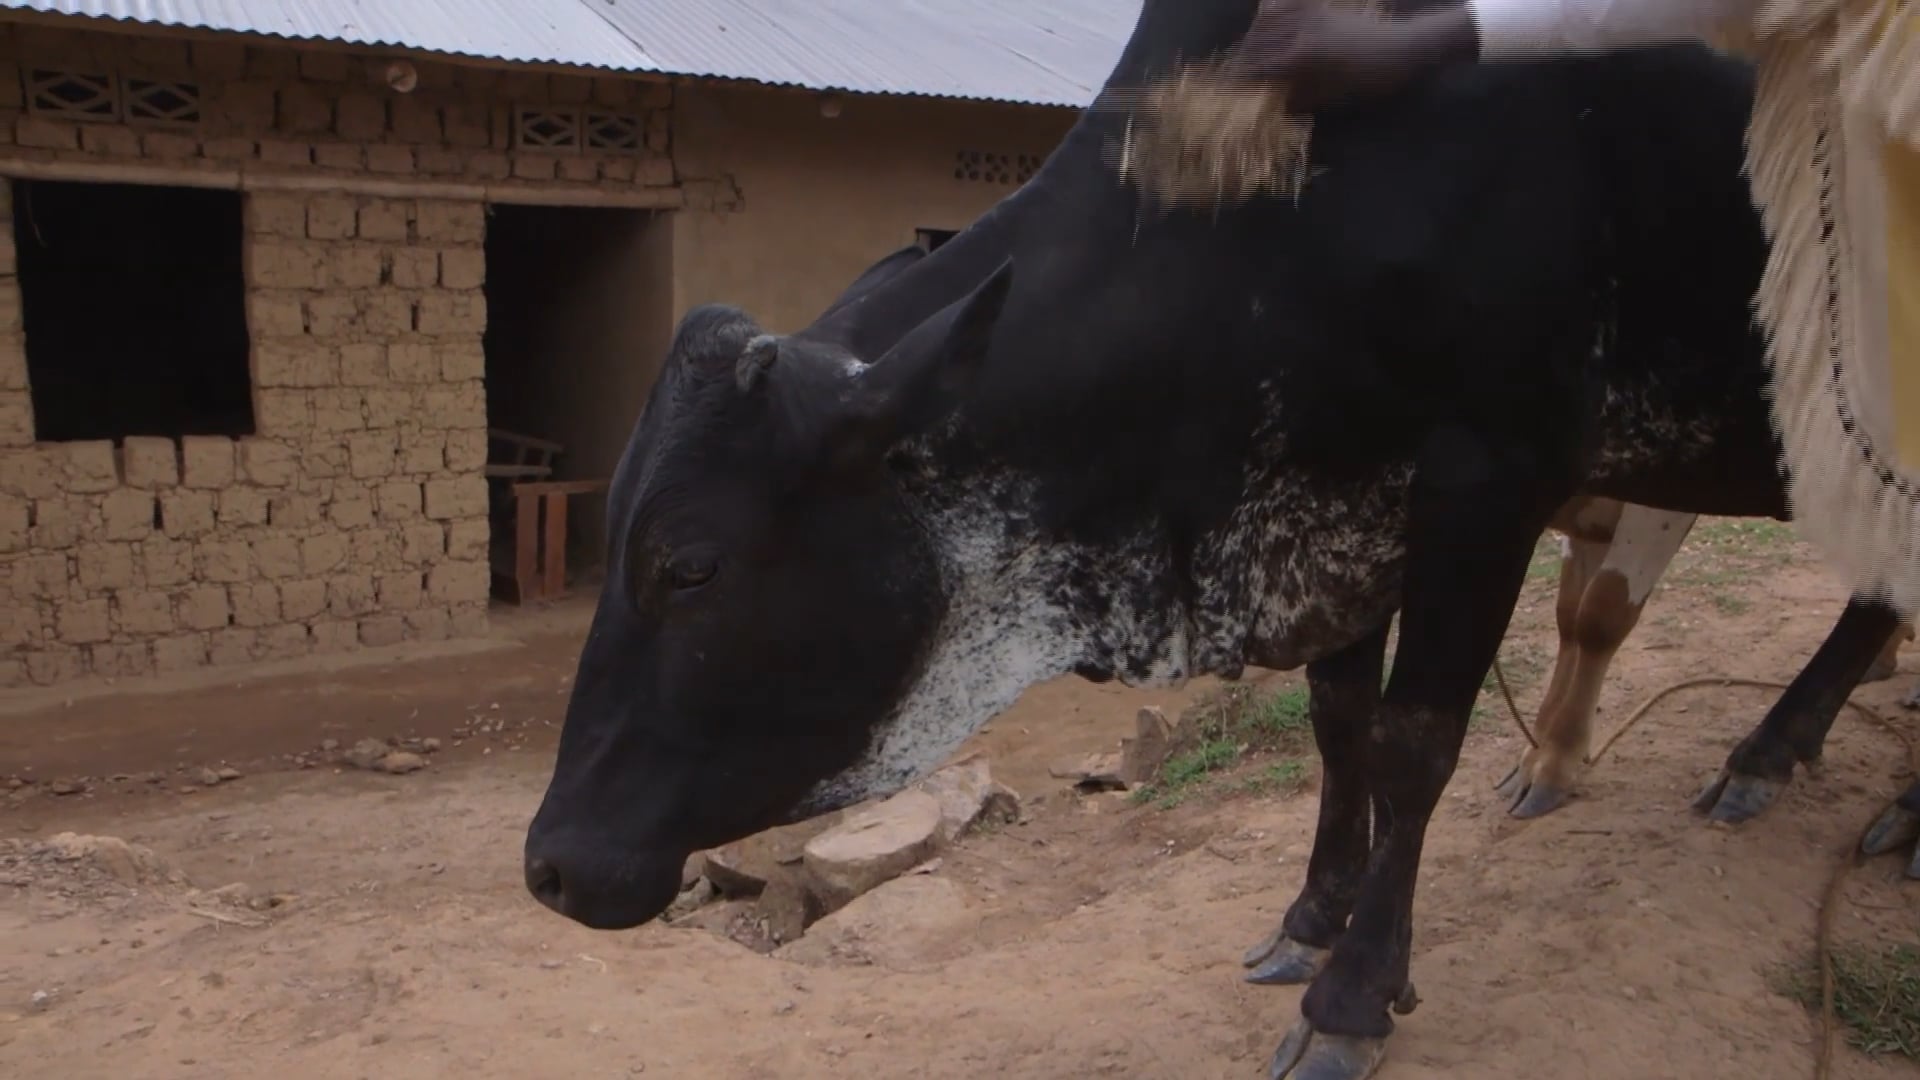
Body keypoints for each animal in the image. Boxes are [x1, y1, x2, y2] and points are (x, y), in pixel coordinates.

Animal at [522, 1, 1912, 1075]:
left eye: (688, 565)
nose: (550, 867)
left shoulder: (1488, 478)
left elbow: (1415, 743)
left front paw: (1355, 993)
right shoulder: (1344, 507)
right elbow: (1343, 724)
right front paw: (1311, 916)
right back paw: (1780, 751)